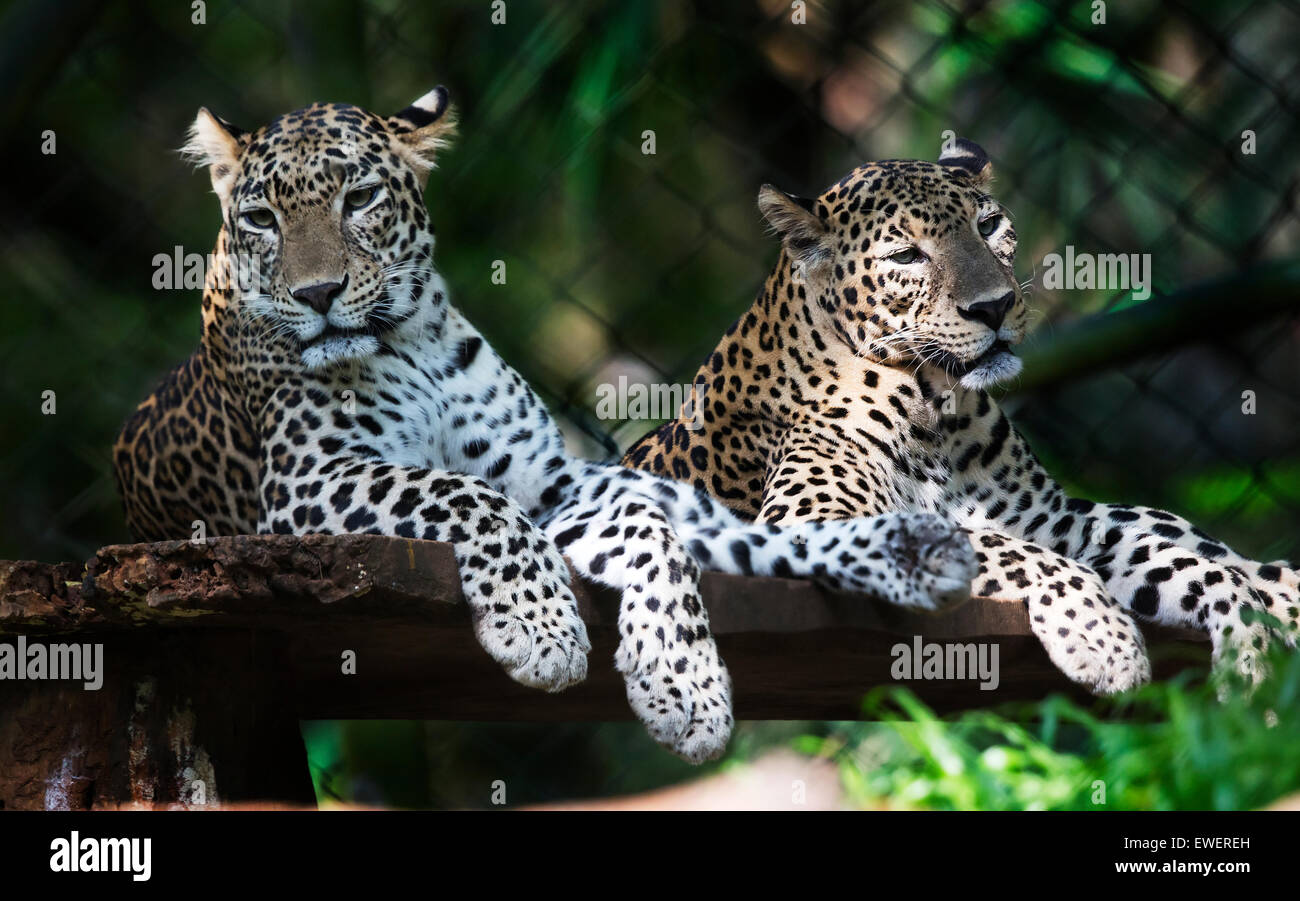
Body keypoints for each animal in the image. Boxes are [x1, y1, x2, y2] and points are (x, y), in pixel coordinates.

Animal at [111, 87, 981, 763]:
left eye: (357, 200)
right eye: (260, 218)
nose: (316, 295)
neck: (407, 345)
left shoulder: (553, 484)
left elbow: (640, 526)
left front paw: (682, 683)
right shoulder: (311, 485)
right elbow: (462, 492)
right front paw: (542, 628)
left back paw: (913, 550)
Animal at [623, 138, 1300, 695]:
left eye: (990, 224)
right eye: (905, 254)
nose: (995, 307)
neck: (937, 410)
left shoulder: (1054, 519)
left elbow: (1176, 551)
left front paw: (1253, 632)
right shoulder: (809, 520)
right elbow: (993, 547)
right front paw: (1102, 637)